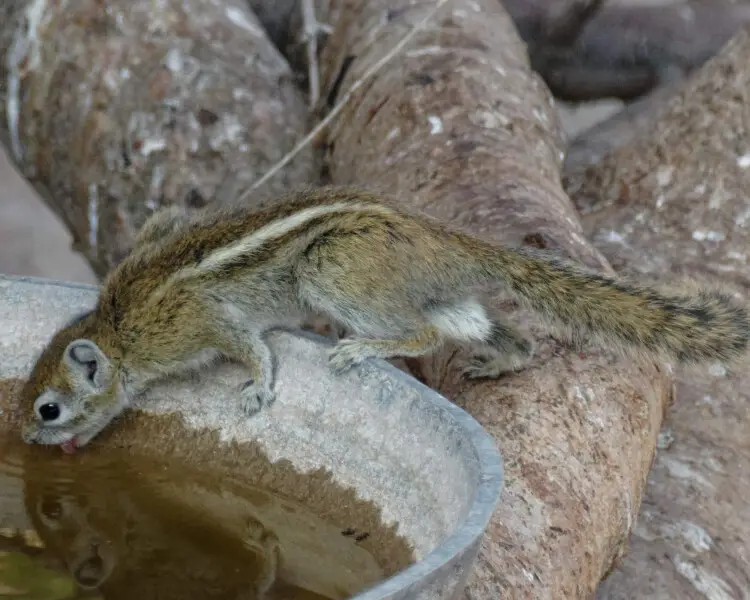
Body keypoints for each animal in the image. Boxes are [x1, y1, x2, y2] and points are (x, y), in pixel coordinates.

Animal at [19, 186, 750, 454]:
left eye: (48, 409)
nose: (29, 441)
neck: (114, 327)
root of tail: (448, 243)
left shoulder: (197, 322)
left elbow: (250, 345)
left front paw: (256, 388)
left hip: (333, 269)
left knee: (424, 332)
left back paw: (359, 349)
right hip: (450, 299)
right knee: (503, 332)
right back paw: (499, 359)